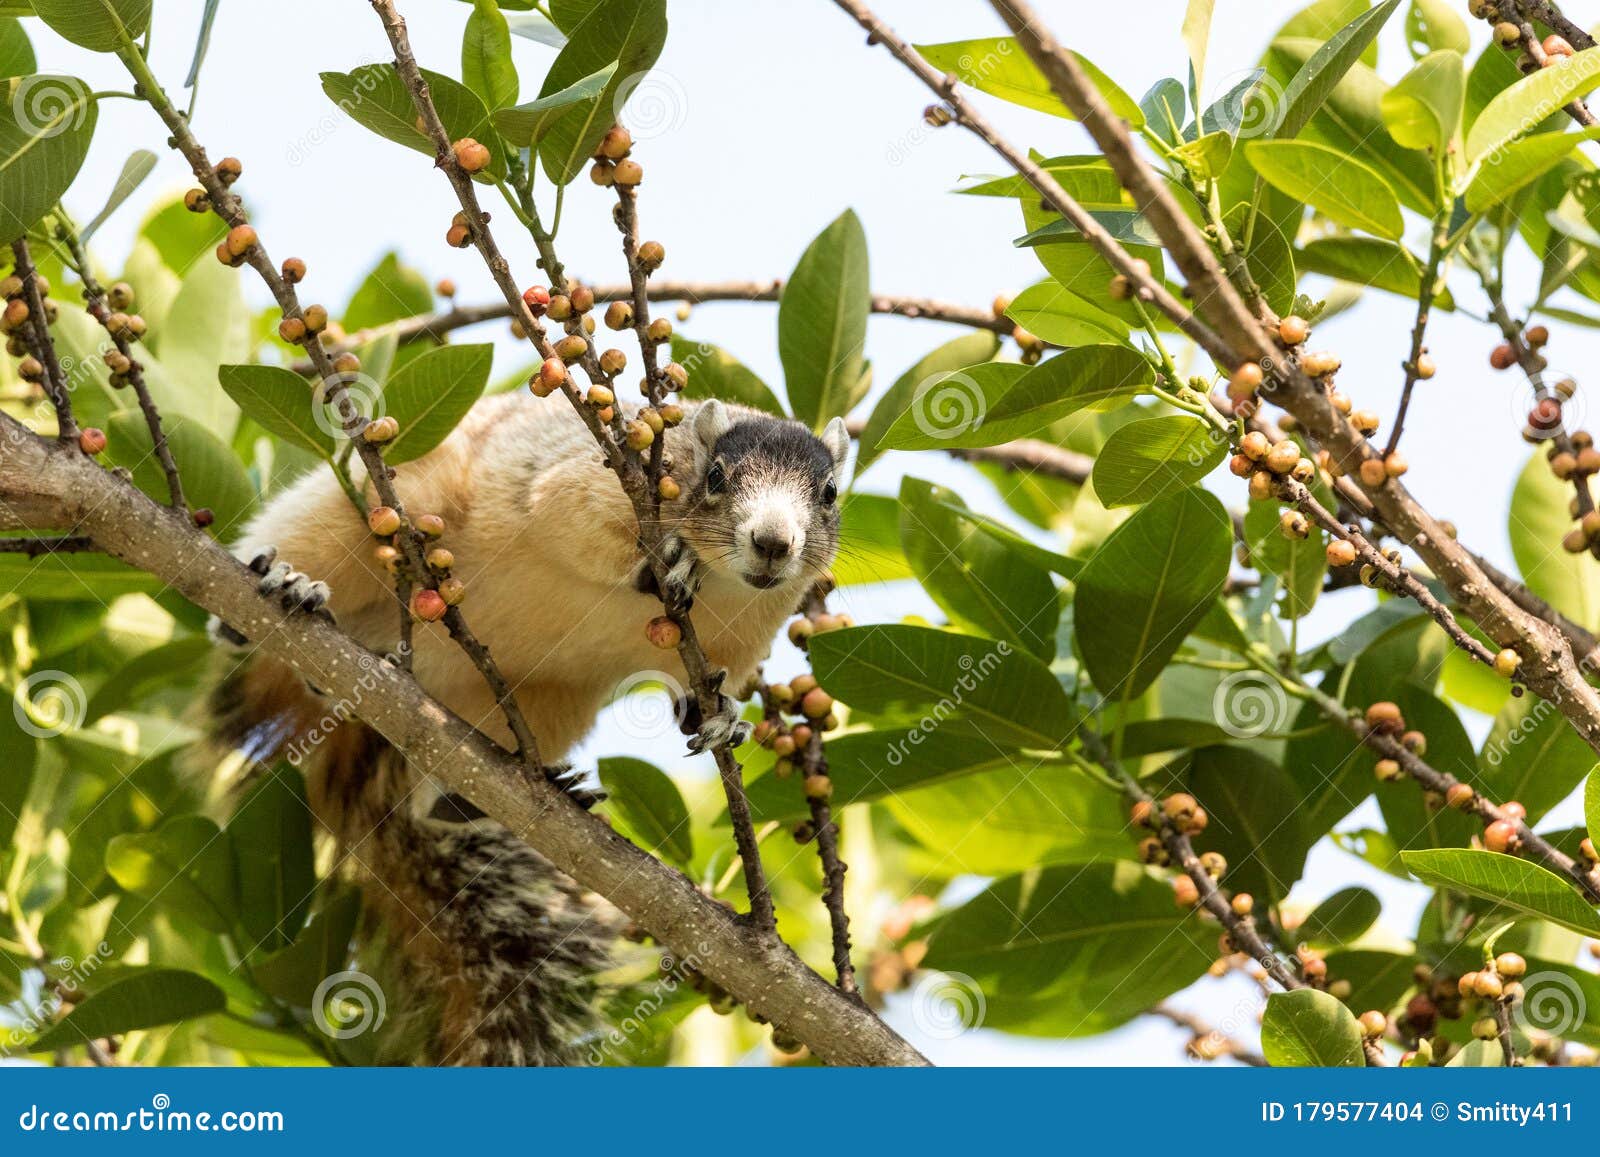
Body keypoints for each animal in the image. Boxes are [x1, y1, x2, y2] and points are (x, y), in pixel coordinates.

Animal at [204, 390, 849, 1065]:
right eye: (717, 476)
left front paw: (718, 716)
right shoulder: (600, 477)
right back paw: (283, 585)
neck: (727, 584)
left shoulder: (749, 629)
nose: (774, 542)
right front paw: (669, 559)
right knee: (312, 537)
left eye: (830, 492)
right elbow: (569, 509)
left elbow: (704, 689)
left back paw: (487, 796)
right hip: (378, 507)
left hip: (545, 698)